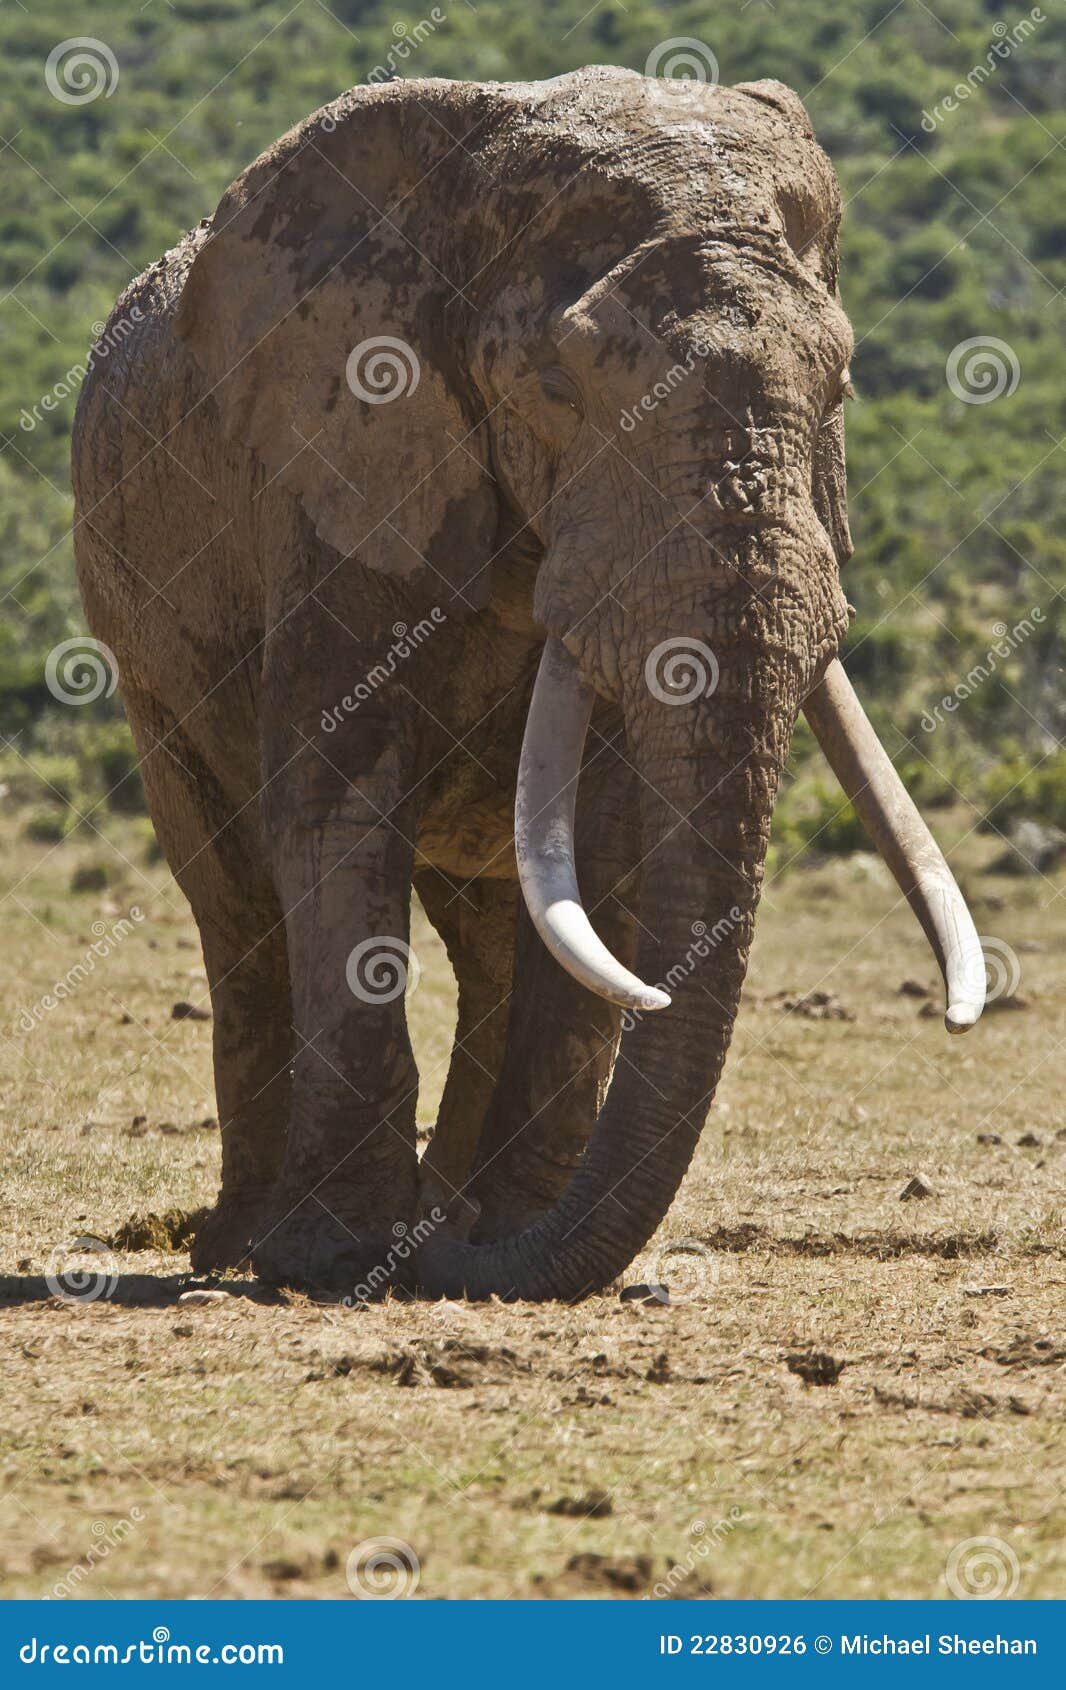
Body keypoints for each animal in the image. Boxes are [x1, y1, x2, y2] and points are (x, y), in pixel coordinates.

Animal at [71, 66, 986, 1301]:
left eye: (839, 383)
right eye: (556, 385)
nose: (441, 1252)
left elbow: (608, 842)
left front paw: (471, 1238)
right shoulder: (335, 467)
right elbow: (336, 804)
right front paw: (333, 1257)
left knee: (499, 924)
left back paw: (448, 1215)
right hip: (142, 650)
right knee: (236, 898)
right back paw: (253, 1241)